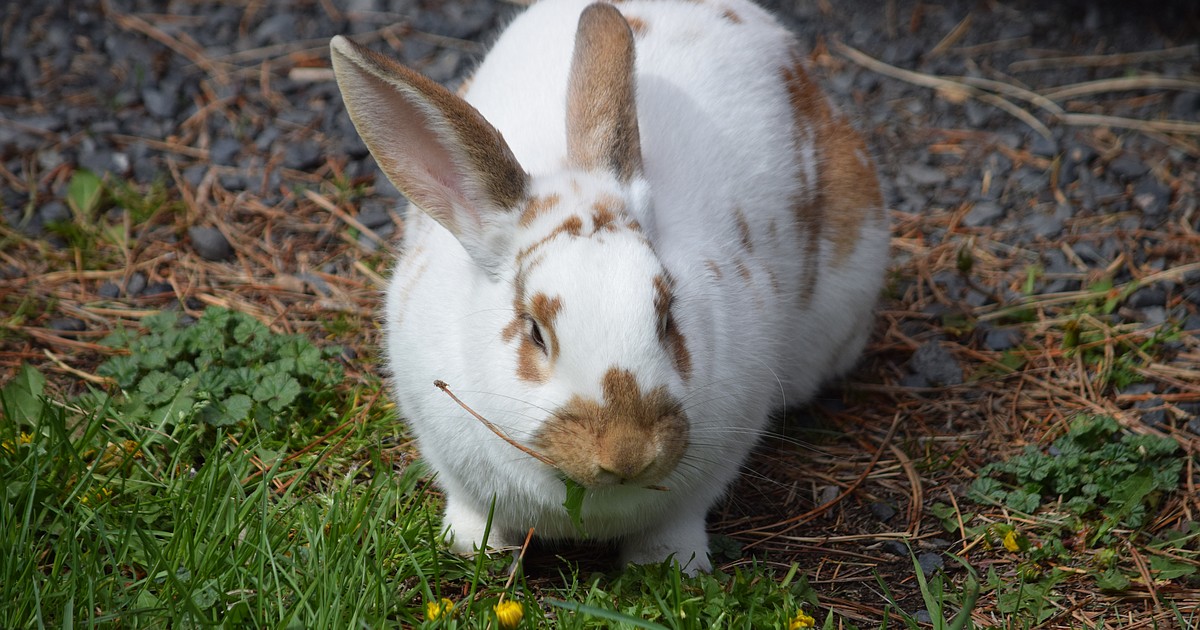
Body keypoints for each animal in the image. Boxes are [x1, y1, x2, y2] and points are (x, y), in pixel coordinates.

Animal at [330, 0, 889, 575]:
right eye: (536, 332)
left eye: (667, 317)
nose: (627, 452)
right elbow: (471, 509)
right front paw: (475, 547)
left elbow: (675, 524)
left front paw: (672, 565)